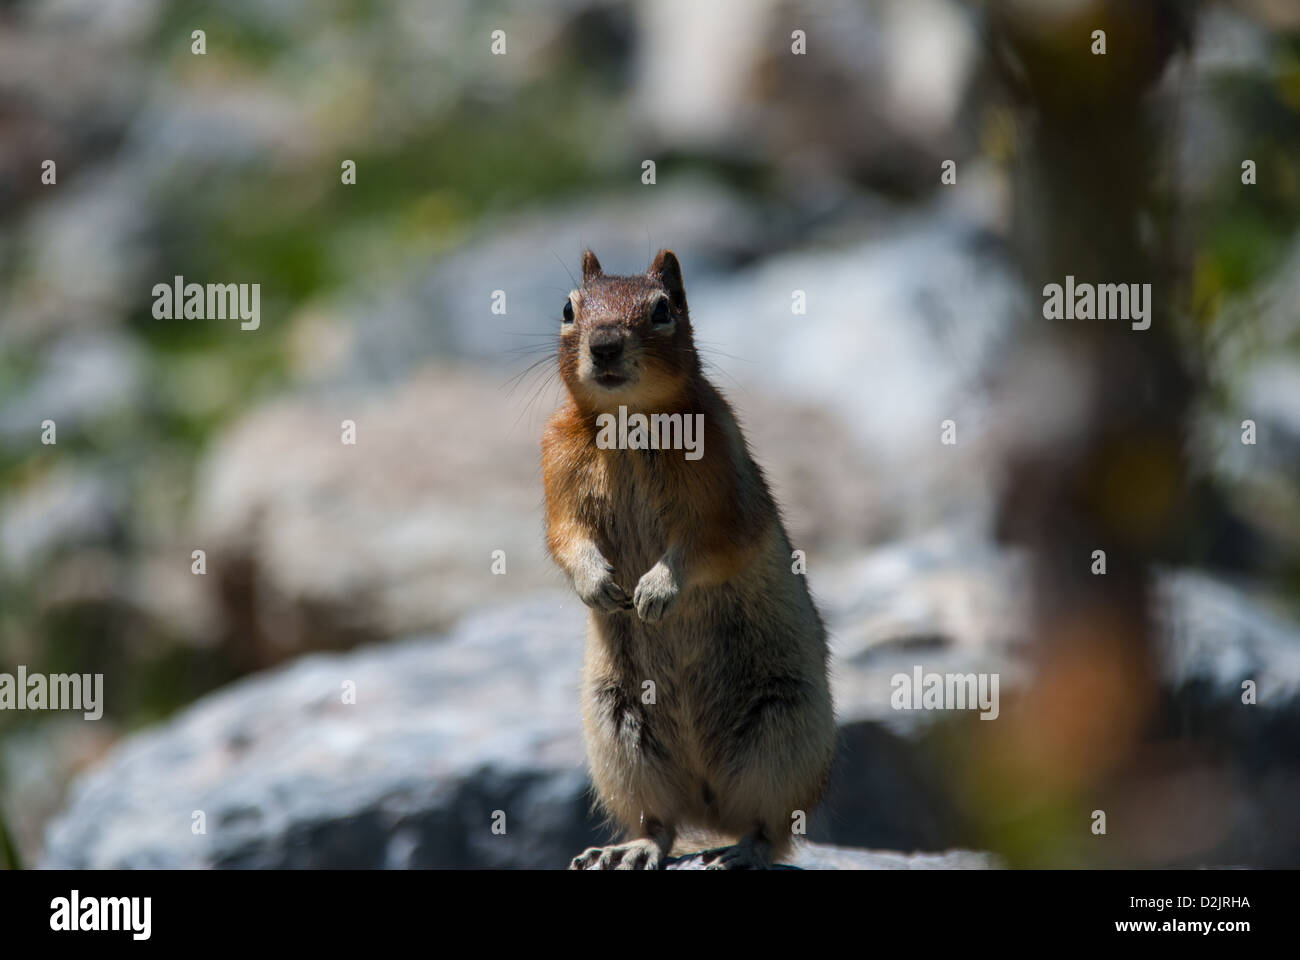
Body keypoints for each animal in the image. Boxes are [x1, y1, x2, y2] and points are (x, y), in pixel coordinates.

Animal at [541, 249, 836, 869]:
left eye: (663, 309)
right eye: (568, 308)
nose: (605, 345)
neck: (629, 423)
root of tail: (710, 807)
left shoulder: (721, 488)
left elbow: (706, 547)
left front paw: (655, 590)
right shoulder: (557, 465)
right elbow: (567, 538)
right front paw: (599, 585)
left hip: (782, 731)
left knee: (773, 829)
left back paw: (742, 852)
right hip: (619, 734)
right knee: (661, 823)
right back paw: (628, 849)